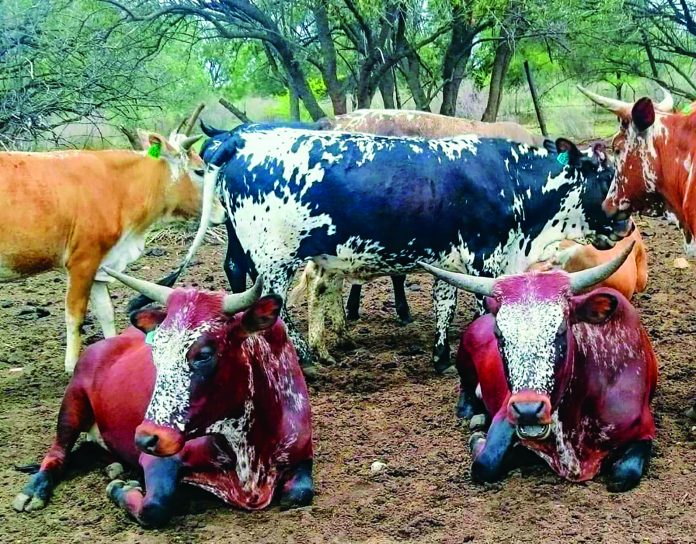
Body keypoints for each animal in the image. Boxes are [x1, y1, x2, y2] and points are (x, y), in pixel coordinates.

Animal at [0, 132, 226, 372]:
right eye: (199, 171)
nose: (222, 213)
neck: (118, 186)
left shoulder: (100, 265)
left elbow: (106, 312)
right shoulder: (82, 261)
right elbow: (75, 316)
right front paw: (72, 367)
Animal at [12, 271, 314, 527]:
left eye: (204, 354)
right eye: (155, 351)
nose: (146, 438)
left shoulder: (302, 455)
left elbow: (299, 494)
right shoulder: (157, 460)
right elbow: (154, 507)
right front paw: (120, 488)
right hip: (72, 404)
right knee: (58, 452)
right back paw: (34, 490)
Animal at [199, 123, 631, 373]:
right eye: (605, 175)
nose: (627, 222)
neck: (511, 180)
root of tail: (239, 139)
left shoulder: (450, 260)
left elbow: (445, 304)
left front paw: (441, 357)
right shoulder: (485, 259)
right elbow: (485, 308)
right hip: (274, 257)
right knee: (273, 305)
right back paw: (305, 358)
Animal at [420, 241, 658, 491]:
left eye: (561, 329)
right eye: (500, 334)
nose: (528, 410)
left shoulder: (645, 430)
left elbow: (623, 474)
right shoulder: (506, 413)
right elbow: (485, 463)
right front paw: (480, 439)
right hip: (464, 357)